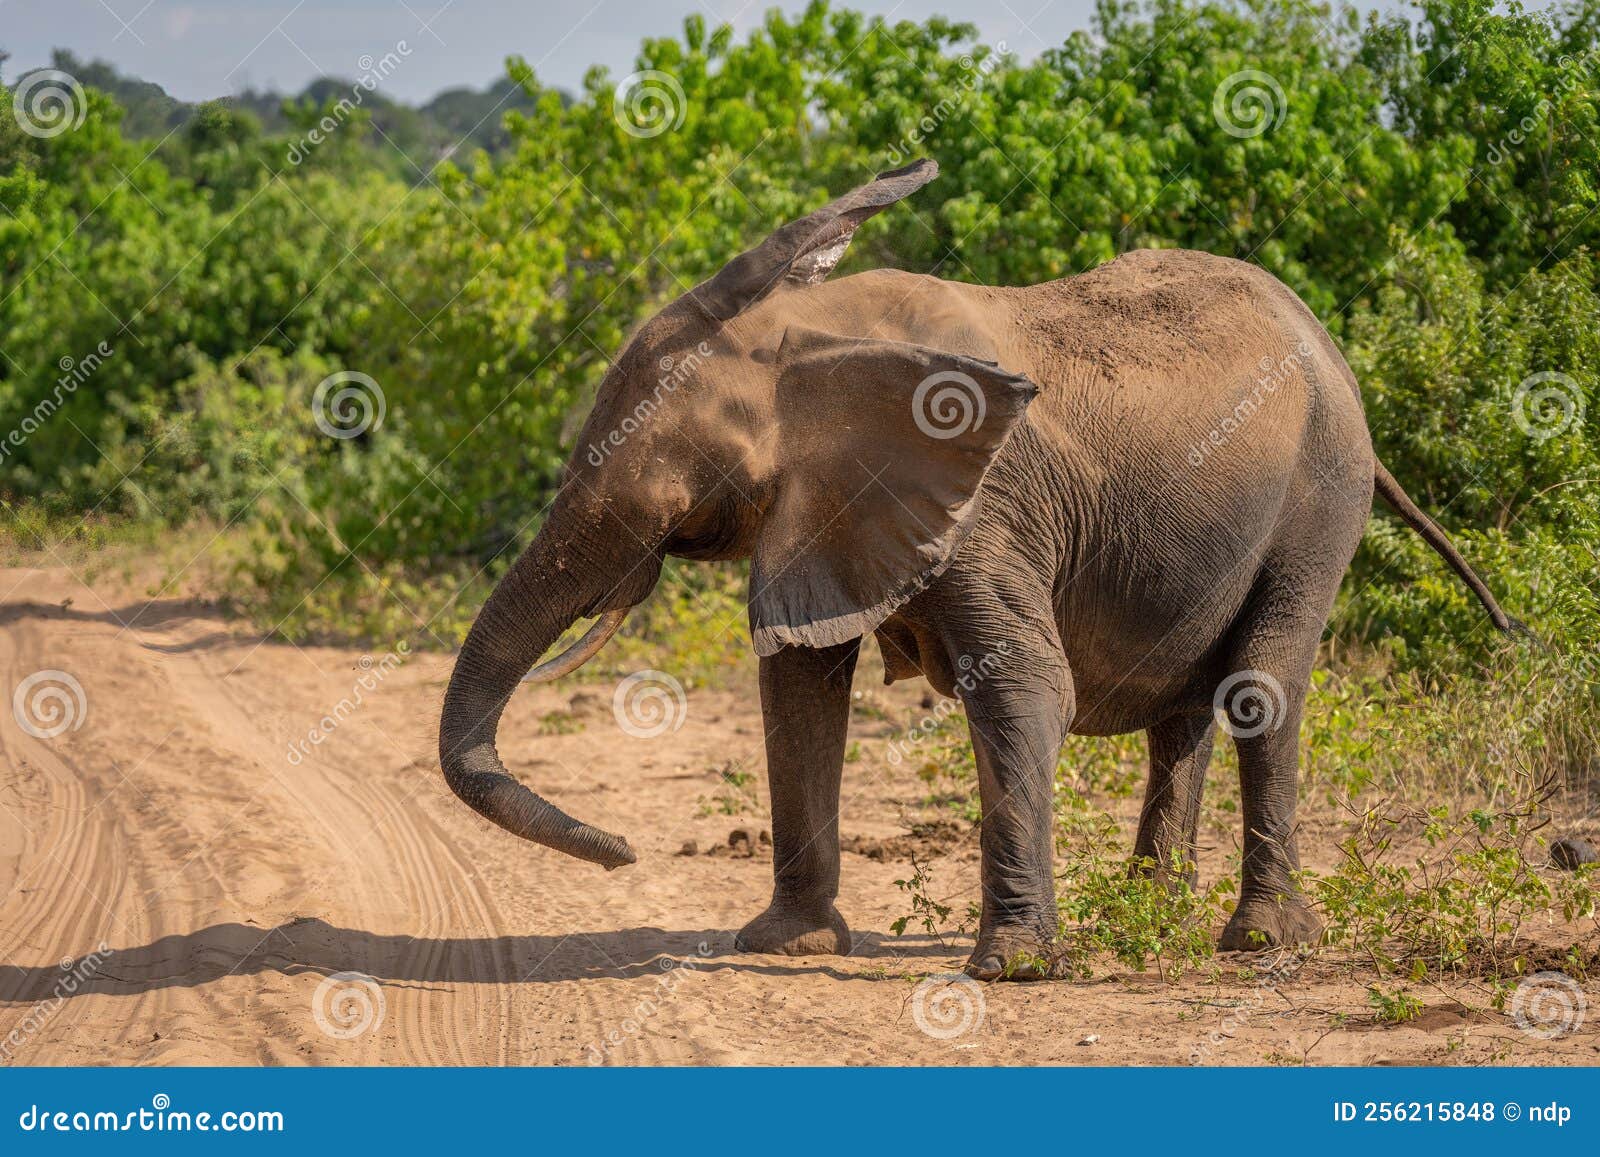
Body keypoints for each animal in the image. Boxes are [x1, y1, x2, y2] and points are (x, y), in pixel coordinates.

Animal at [437, 158, 1518, 980]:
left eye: (666, 480)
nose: (621, 852)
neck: (813, 333)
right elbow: (798, 693)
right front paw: (784, 944)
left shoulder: (984, 503)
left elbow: (1024, 683)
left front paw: (1013, 968)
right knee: (1185, 709)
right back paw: (1151, 919)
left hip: (1321, 493)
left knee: (1259, 684)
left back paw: (1256, 941)